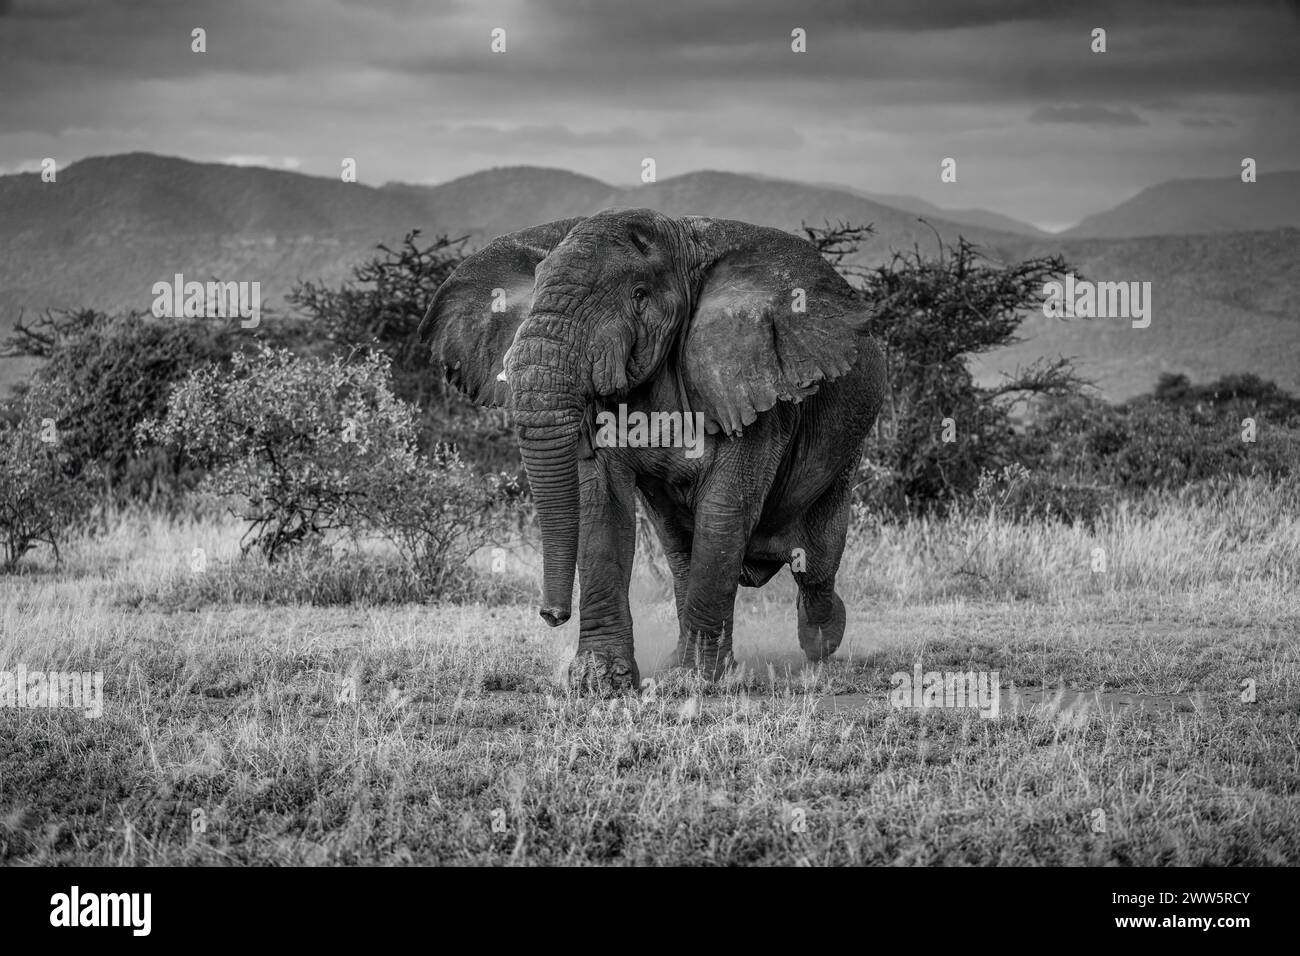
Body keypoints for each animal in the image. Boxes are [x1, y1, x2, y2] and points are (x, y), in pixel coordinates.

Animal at [421, 208, 887, 693]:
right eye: (536, 287)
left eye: (639, 296)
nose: (551, 615)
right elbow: (601, 503)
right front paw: (598, 681)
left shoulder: (753, 382)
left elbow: (725, 509)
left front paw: (691, 684)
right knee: (682, 553)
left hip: (847, 448)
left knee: (814, 564)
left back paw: (820, 640)